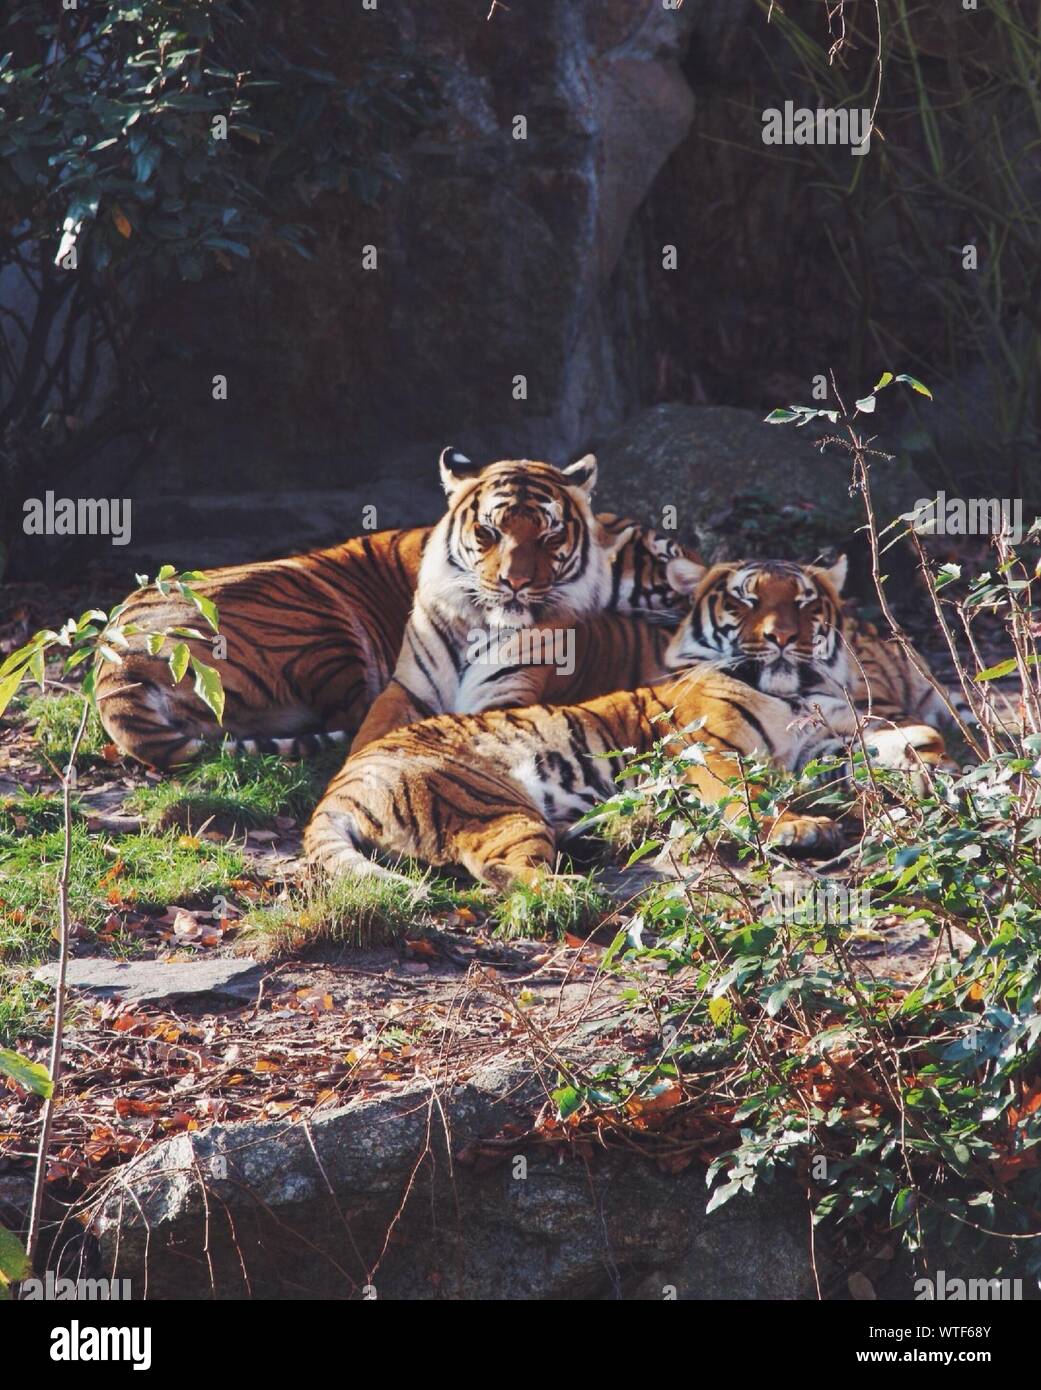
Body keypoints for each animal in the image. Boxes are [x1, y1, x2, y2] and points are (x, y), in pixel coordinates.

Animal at [95, 451, 695, 769]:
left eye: (550, 538)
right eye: (666, 557)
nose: (701, 589)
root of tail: (115, 672)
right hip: (317, 614)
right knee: (347, 714)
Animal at [303, 556, 947, 889]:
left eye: (806, 602)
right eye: (745, 600)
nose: (782, 638)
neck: (800, 692)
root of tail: (338, 785)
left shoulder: (822, 748)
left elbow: (884, 746)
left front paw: (921, 758)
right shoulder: (708, 749)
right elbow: (743, 797)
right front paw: (801, 828)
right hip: (489, 799)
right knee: (500, 871)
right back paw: (576, 890)